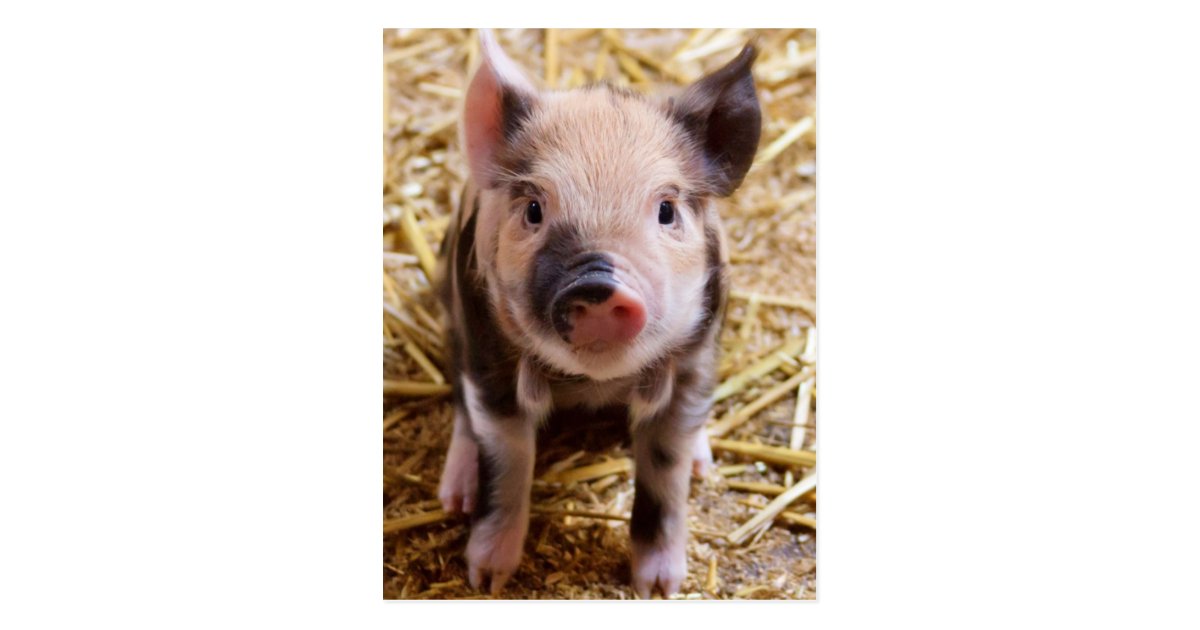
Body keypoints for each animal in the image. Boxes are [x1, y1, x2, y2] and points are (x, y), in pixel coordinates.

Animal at [435, 30, 761, 598]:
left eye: (666, 210)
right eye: (534, 209)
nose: (597, 284)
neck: (593, 384)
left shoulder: (695, 360)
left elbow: (666, 470)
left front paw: (660, 588)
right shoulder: (487, 353)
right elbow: (507, 460)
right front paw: (487, 578)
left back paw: (705, 466)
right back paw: (454, 497)